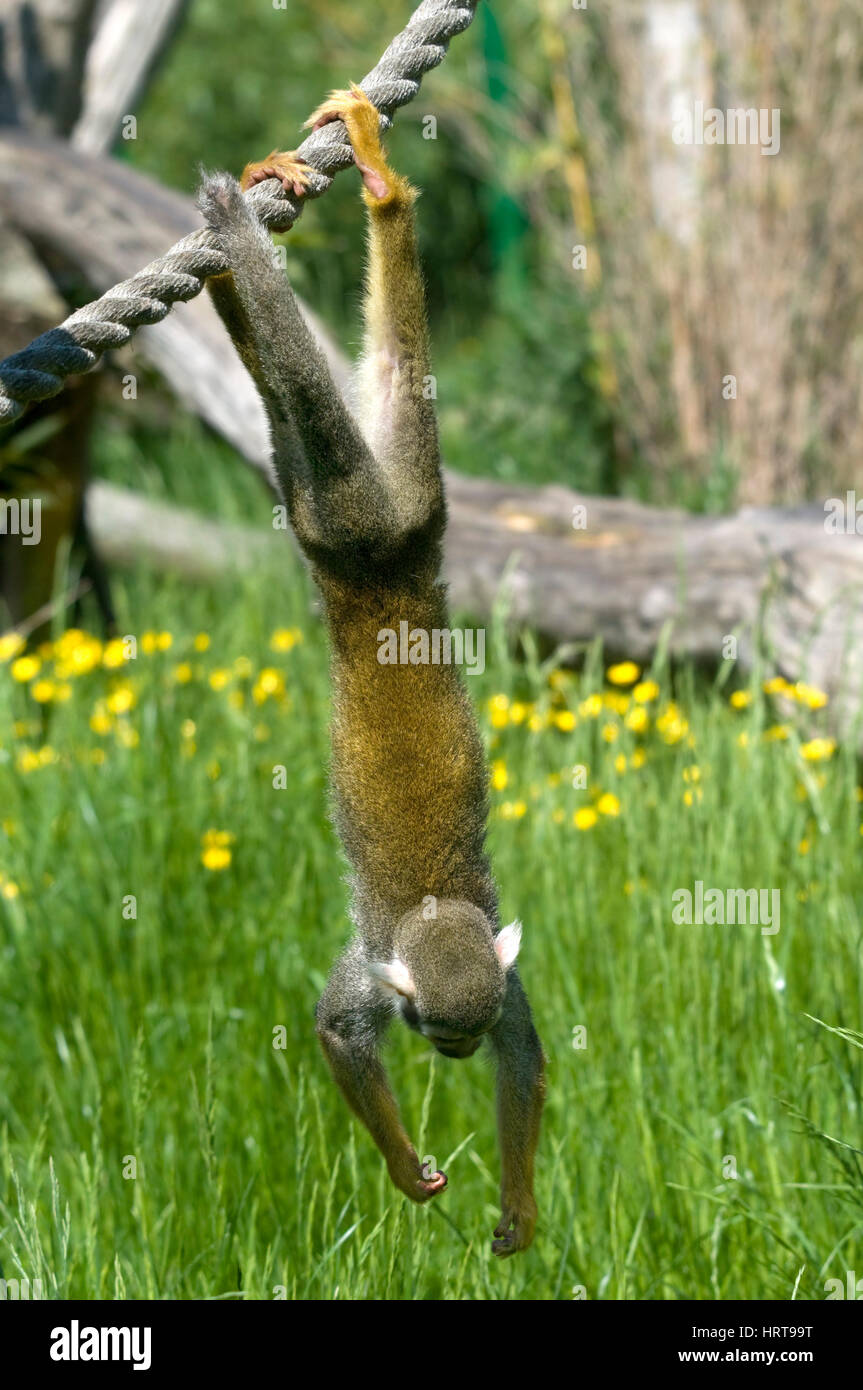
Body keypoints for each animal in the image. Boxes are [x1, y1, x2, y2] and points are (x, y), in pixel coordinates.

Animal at [199, 85, 545, 1256]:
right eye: (432, 1031)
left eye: (462, 1035)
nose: (451, 1054)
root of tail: (388, 568)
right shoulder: (372, 975)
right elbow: (337, 1033)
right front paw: (405, 1169)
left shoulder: (504, 975)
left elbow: (527, 1058)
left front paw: (516, 1205)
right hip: (352, 522)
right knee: (311, 434)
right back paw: (258, 266)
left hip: (414, 507)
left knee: (363, 393)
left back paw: (357, 216)